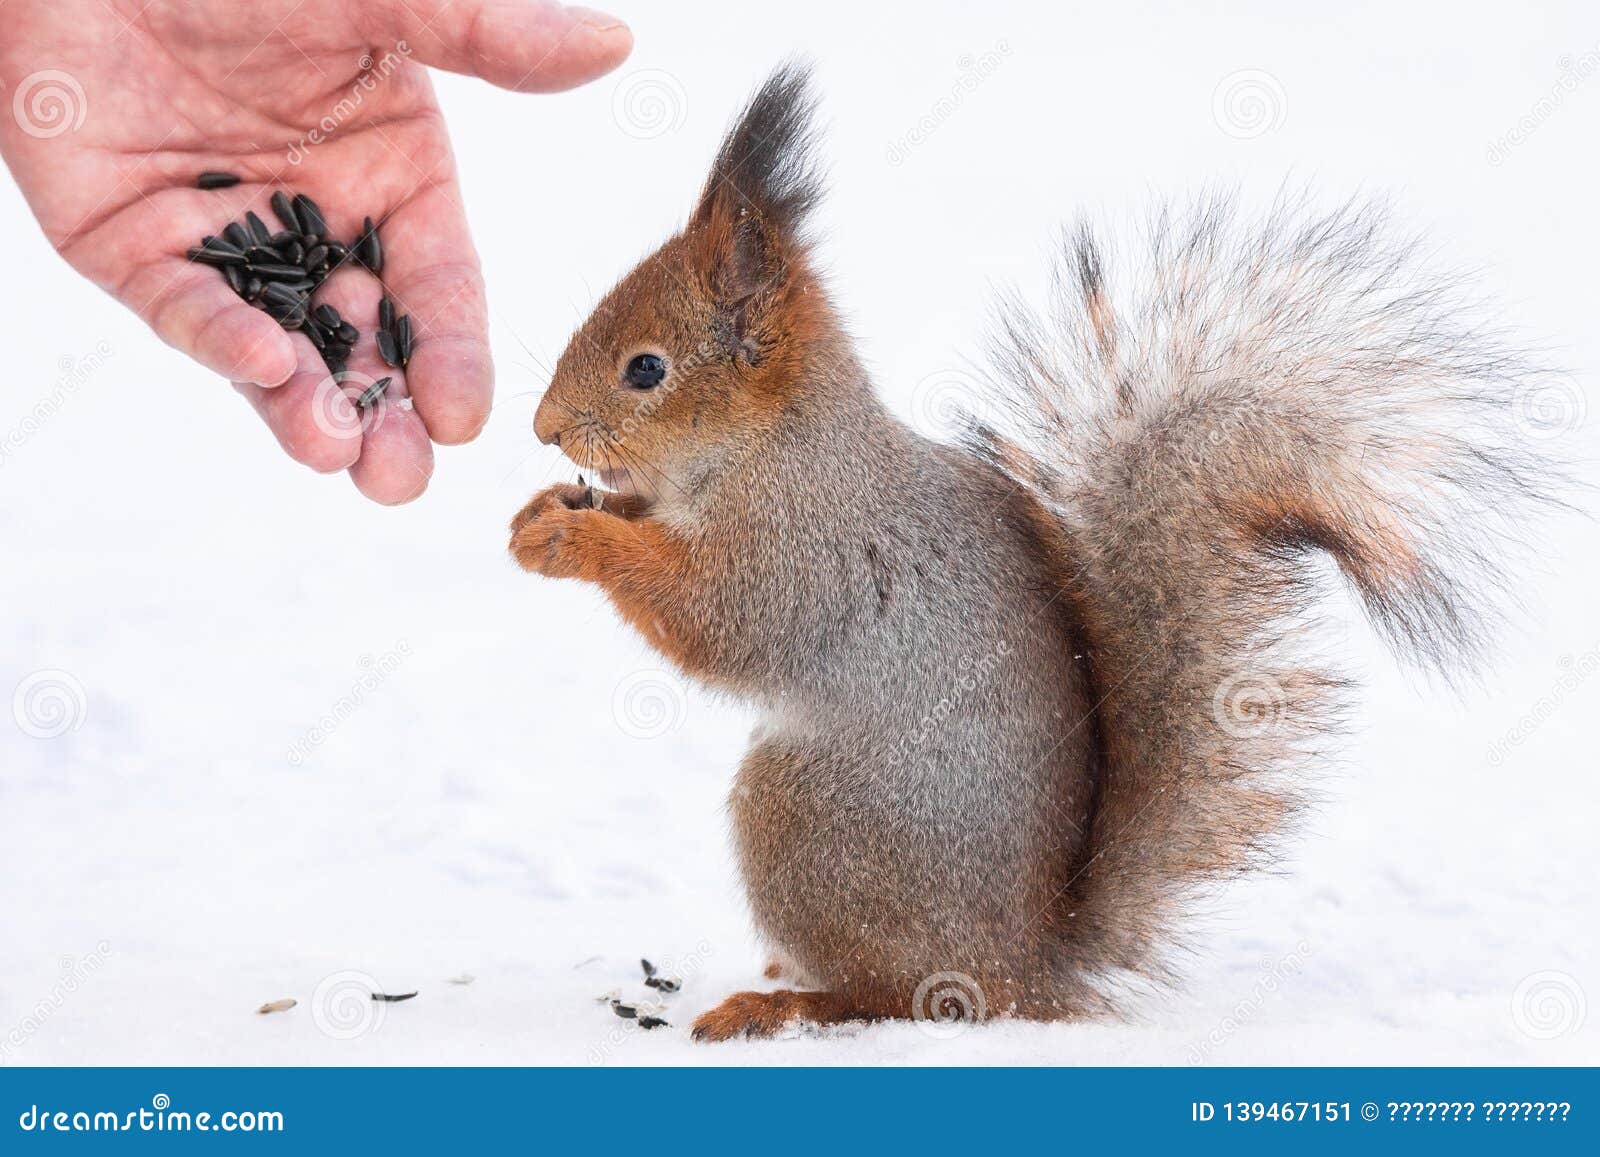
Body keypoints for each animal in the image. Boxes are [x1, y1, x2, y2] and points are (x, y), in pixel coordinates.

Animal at [510, 63, 1554, 1041]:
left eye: (647, 369)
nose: (544, 428)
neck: (770, 444)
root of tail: (1028, 967)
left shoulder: (800, 548)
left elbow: (709, 618)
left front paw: (571, 536)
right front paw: (550, 509)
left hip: (802, 823)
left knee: (894, 998)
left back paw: (781, 1005)